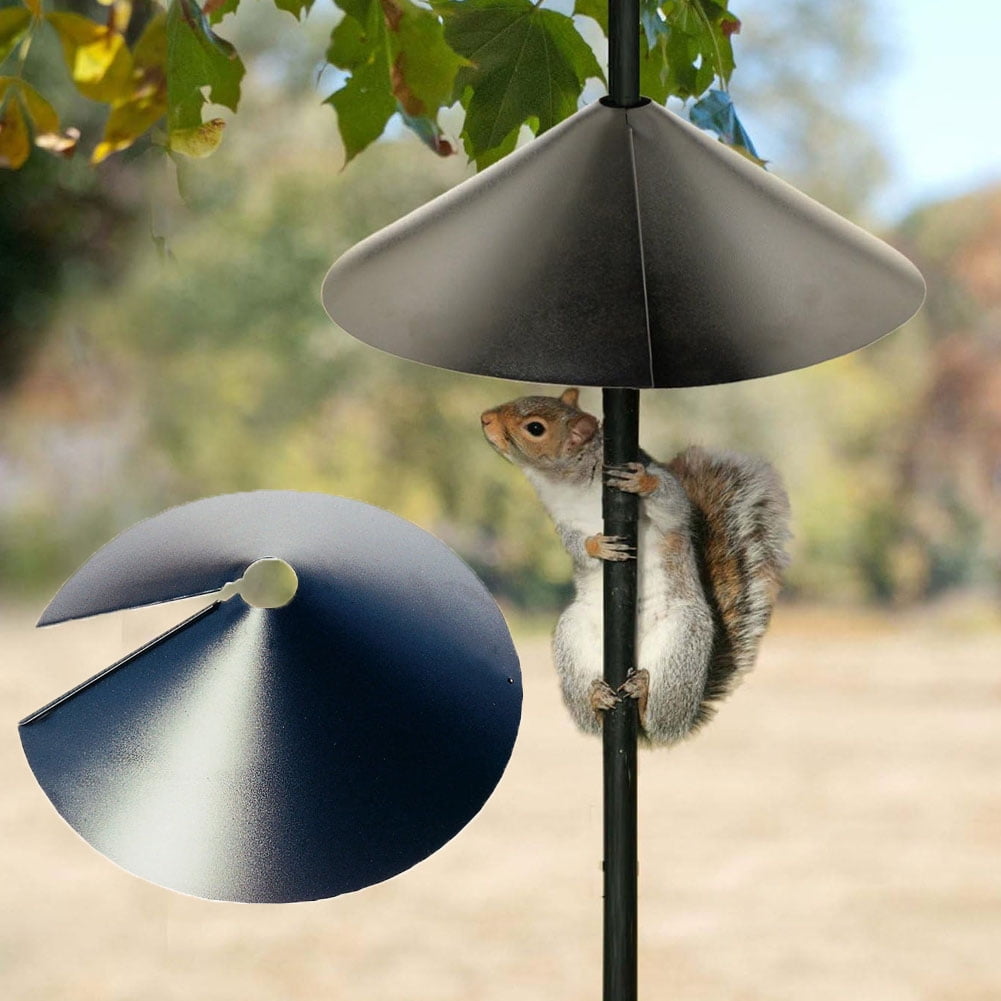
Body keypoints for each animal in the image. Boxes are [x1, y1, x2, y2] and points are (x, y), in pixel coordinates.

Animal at [481, 387, 791, 746]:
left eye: (535, 428)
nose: (485, 418)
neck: (569, 482)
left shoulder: (666, 498)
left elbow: (673, 505)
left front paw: (642, 483)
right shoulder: (563, 523)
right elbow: (576, 546)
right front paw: (598, 546)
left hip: (682, 642)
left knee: (658, 721)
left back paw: (643, 697)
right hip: (572, 636)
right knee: (593, 720)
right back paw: (597, 699)